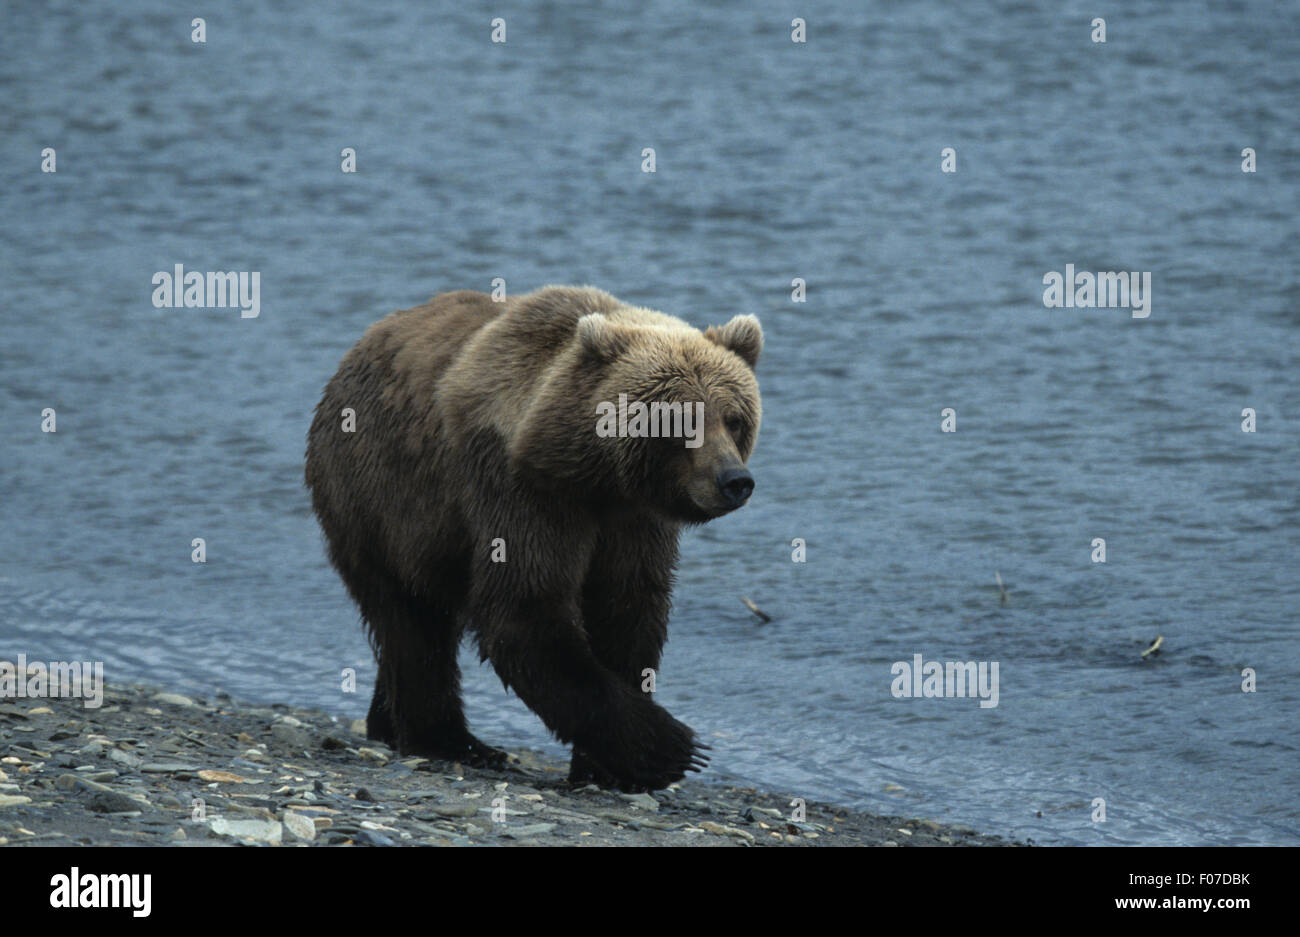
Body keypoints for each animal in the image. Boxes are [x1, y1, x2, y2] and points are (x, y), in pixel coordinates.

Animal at [305, 285, 762, 791]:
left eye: (734, 419)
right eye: (680, 420)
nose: (734, 480)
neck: (597, 479)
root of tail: (359, 347)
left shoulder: (635, 522)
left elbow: (628, 610)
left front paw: (608, 766)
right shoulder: (519, 492)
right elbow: (525, 609)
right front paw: (671, 747)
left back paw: (387, 724)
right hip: (376, 499)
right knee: (411, 625)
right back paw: (452, 742)